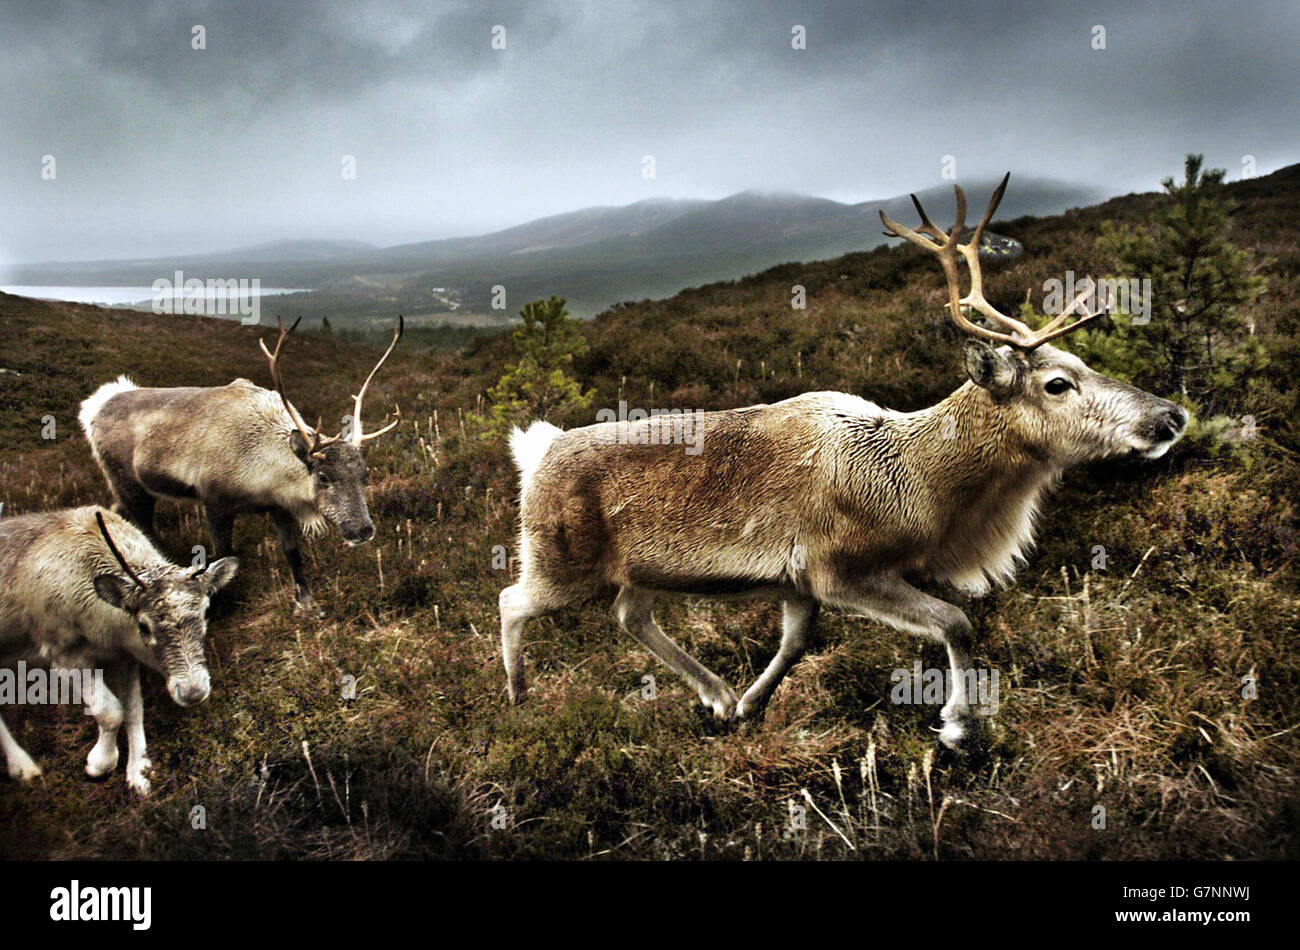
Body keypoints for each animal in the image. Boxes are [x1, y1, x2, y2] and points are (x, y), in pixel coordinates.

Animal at [0, 506, 237, 794]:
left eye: (205, 611)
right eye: (144, 625)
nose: (193, 692)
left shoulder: (124, 657)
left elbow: (134, 709)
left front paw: (139, 774)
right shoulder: (63, 654)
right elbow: (110, 711)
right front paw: (99, 764)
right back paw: (24, 767)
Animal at [79, 316, 403, 616]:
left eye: (364, 475)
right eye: (323, 477)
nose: (362, 530)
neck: (261, 471)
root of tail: (96, 405)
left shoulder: (280, 507)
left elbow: (292, 551)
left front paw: (307, 603)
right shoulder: (214, 501)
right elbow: (222, 554)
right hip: (127, 482)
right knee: (143, 526)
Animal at [497, 174, 1188, 749]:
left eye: (1084, 364)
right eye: (1056, 383)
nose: (1171, 416)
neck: (927, 489)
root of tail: (536, 450)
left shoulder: (797, 582)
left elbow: (796, 645)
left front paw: (746, 705)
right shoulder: (840, 568)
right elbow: (957, 620)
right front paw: (958, 725)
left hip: (641, 570)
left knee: (628, 615)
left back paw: (715, 693)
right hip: (559, 560)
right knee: (511, 600)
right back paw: (518, 698)